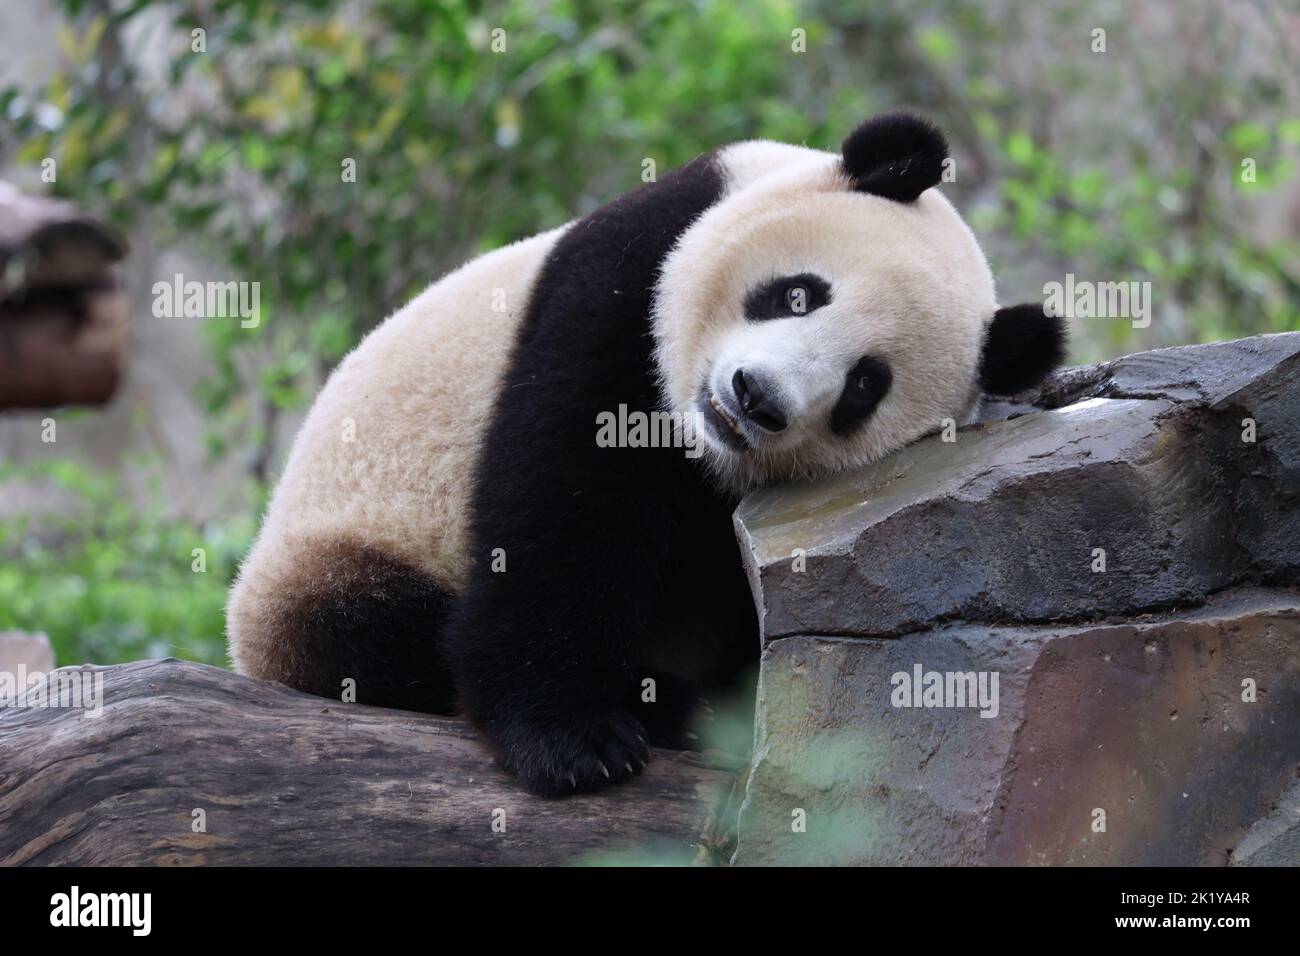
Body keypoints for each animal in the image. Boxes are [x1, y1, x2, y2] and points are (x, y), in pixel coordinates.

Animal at [227, 112, 1066, 796]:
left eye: (866, 385)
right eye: (798, 293)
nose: (756, 397)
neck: (697, 441)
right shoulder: (626, 281)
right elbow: (563, 508)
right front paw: (575, 743)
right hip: (334, 552)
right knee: (368, 634)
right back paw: (667, 704)